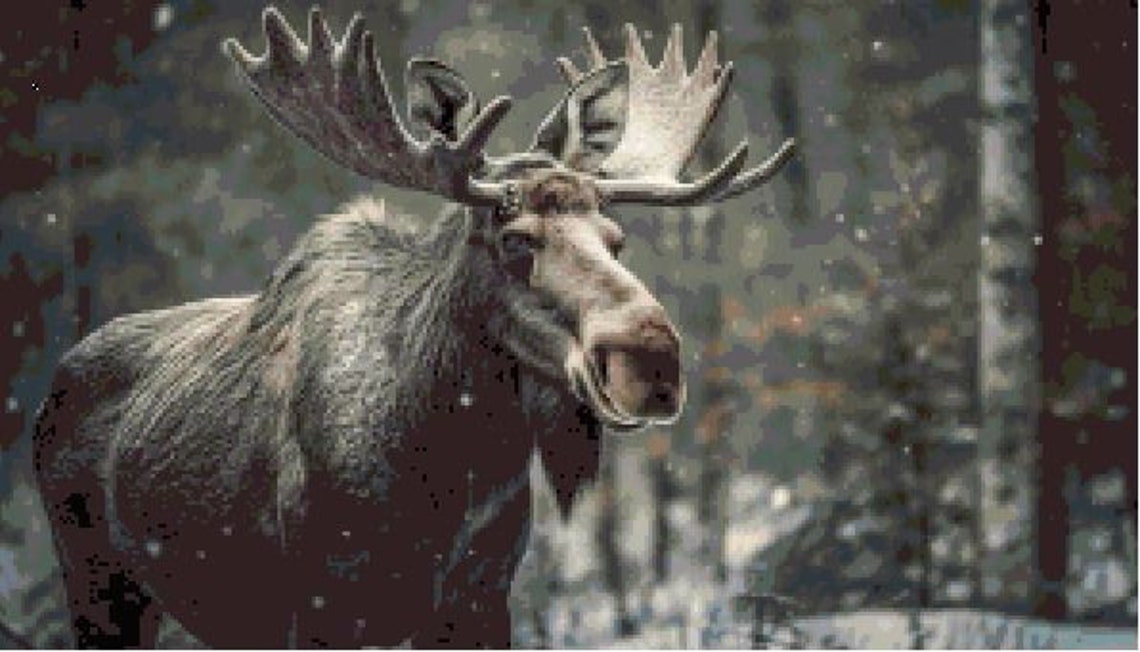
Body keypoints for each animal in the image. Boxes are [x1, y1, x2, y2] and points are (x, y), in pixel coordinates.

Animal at [33, 6, 794, 648]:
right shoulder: (322, 609)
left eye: (616, 238)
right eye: (515, 238)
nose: (651, 359)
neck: (452, 463)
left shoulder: (479, 602)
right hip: (96, 585)